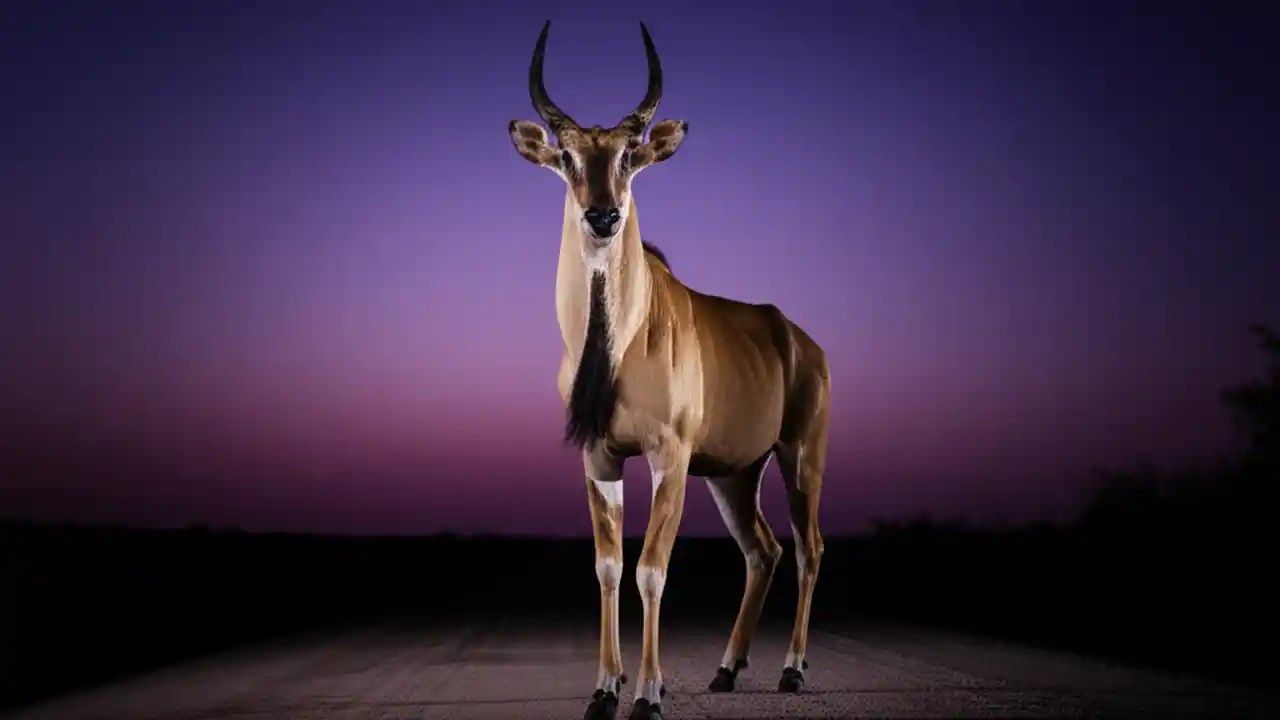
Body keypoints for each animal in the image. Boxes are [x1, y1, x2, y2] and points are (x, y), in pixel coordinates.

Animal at [507, 21, 831, 720]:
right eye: (567, 157)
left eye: (630, 154)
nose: (603, 216)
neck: (621, 346)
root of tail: (800, 342)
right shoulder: (600, 458)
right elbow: (607, 567)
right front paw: (604, 690)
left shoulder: (669, 457)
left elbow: (651, 569)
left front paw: (648, 695)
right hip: (734, 475)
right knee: (763, 549)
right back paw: (727, 669)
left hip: (800, 458)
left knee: (809, 548)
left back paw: (792, 670)